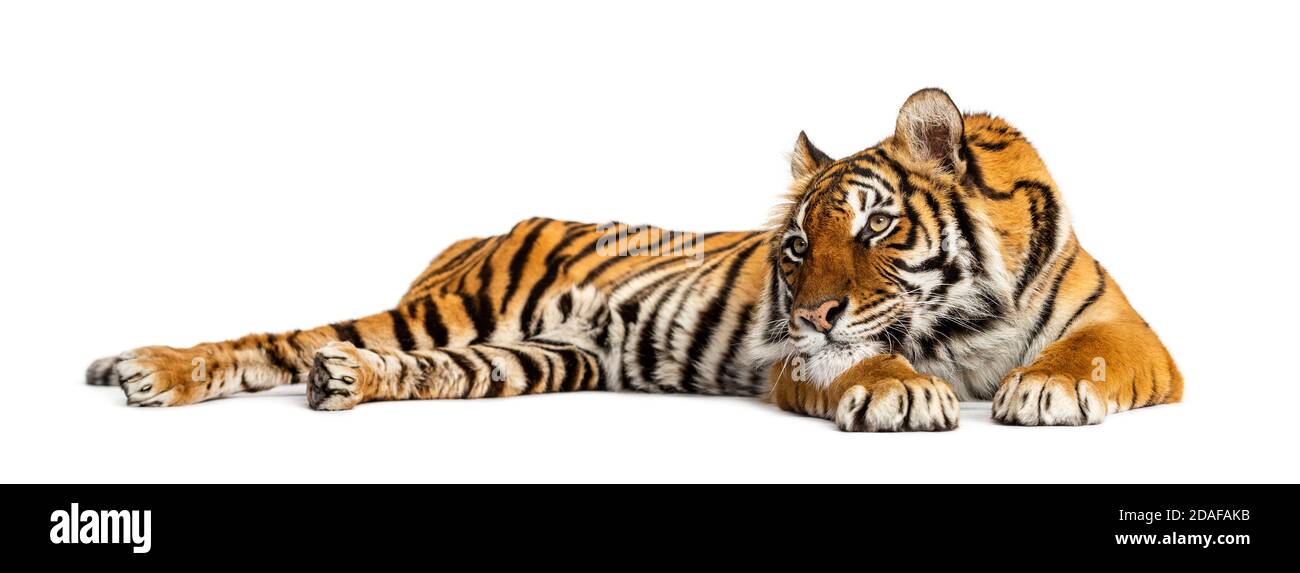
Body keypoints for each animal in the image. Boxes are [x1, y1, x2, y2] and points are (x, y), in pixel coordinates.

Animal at [86, 88, 1182, 431]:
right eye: (798, 247)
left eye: (874, 230)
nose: (811, 310)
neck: (968, 317)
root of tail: (478, 231)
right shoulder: (798, 360)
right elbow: (860, 362)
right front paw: (901, 389)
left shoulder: (1135, 337)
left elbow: (1087, 357)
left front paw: (1042, 389)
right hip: (459, 309)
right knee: (275, 338)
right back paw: (152, 369)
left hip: (543, 355)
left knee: (410, 368)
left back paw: (344, 381)